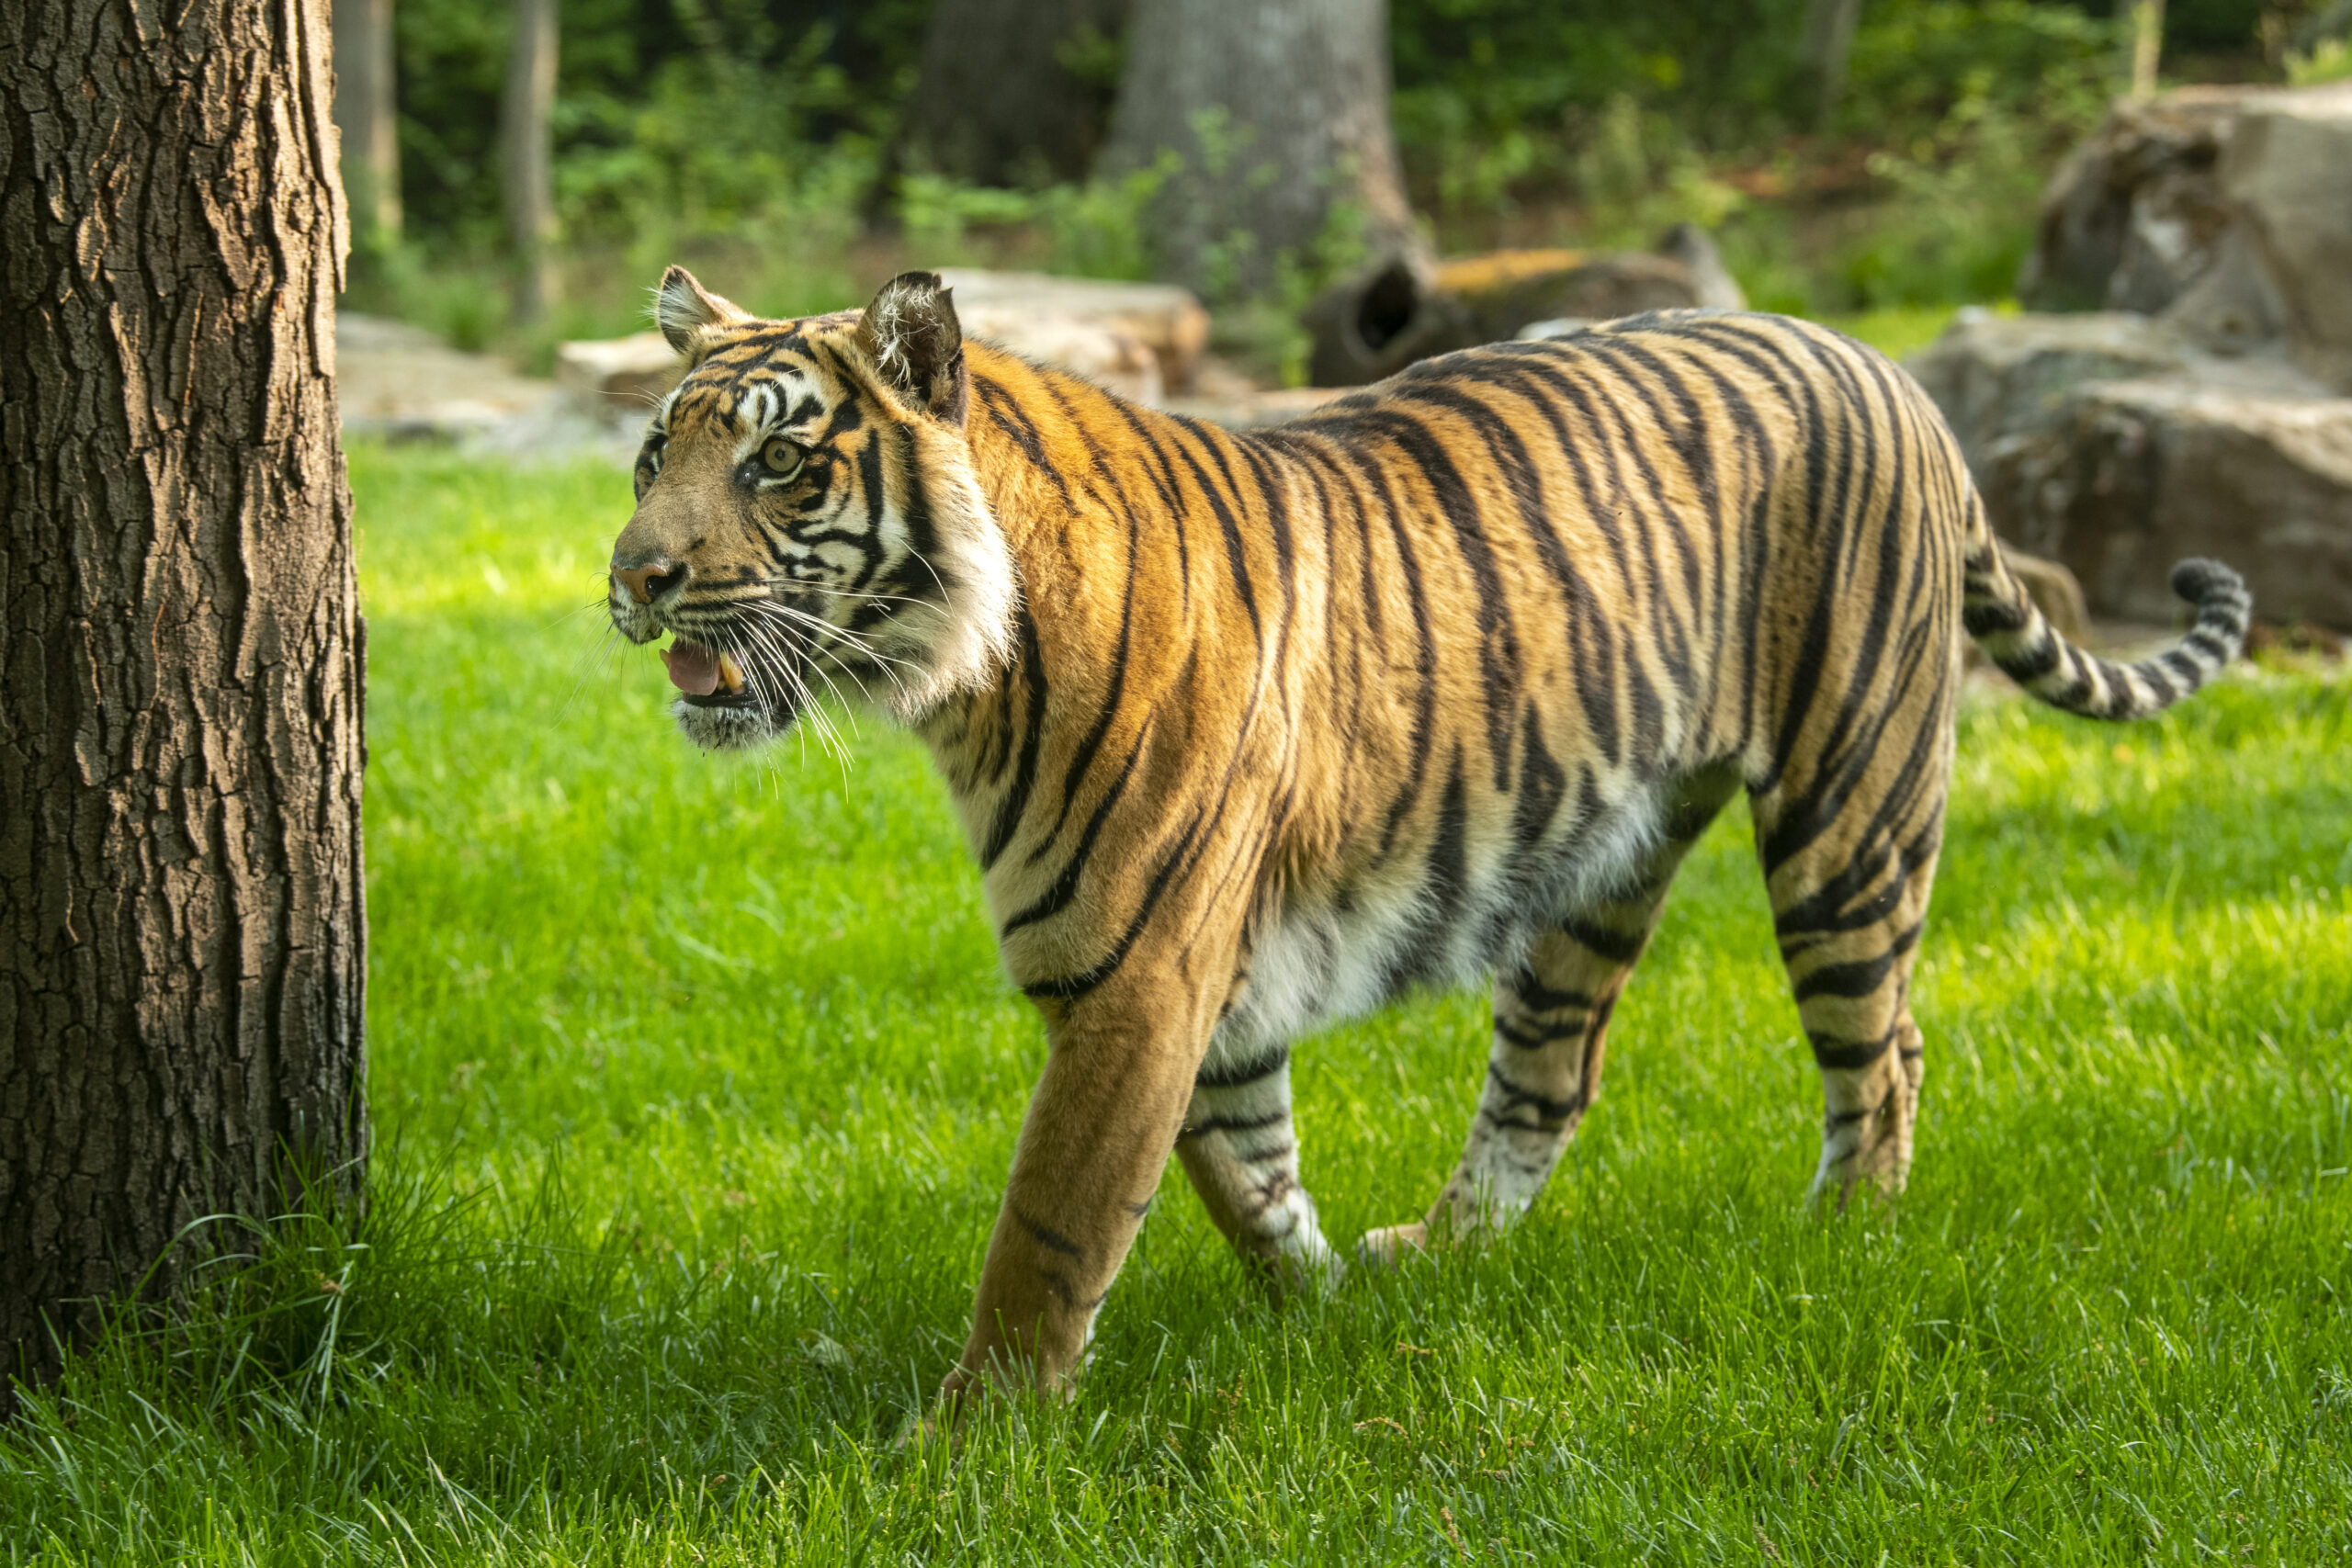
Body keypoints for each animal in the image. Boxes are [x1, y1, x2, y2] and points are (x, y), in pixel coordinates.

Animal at [605, 266, 2250, 1409]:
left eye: (777, 463)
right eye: (649, 459)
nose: (633, 578)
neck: (963, 686)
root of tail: (1885, 364)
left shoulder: (1137, 978)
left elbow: (1054, 1224)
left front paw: (974, 1433)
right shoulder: (1194, 982)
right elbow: (1242, 1172)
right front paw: (1325, 1307)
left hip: (1854, 802)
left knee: (1886, 1046)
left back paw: (1847, 1238)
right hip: (1600, 856)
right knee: (1554, 1070)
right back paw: (1443, 1252)